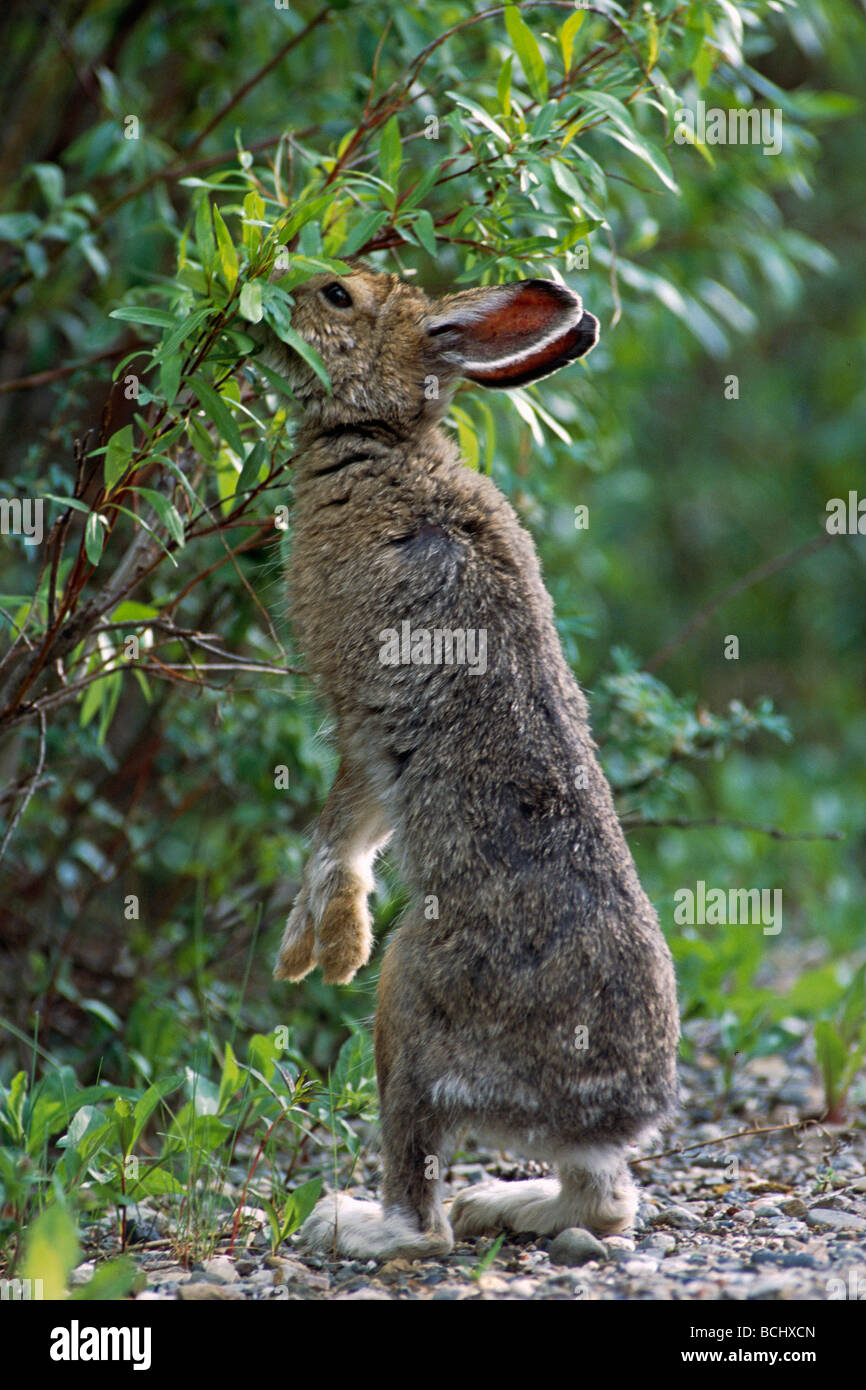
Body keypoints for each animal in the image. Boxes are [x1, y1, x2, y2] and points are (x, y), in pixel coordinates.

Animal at [264, 265, 679, 1259]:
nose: (276, 296)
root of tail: (613, 1109)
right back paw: (509, 1203)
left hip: (411, 1012)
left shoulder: (361, 726)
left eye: (337, 296)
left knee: (425, 1214)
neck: (385, 439)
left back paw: (356, 1225)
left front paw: (322, 948)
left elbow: (341, 835)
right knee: (604, 1202)